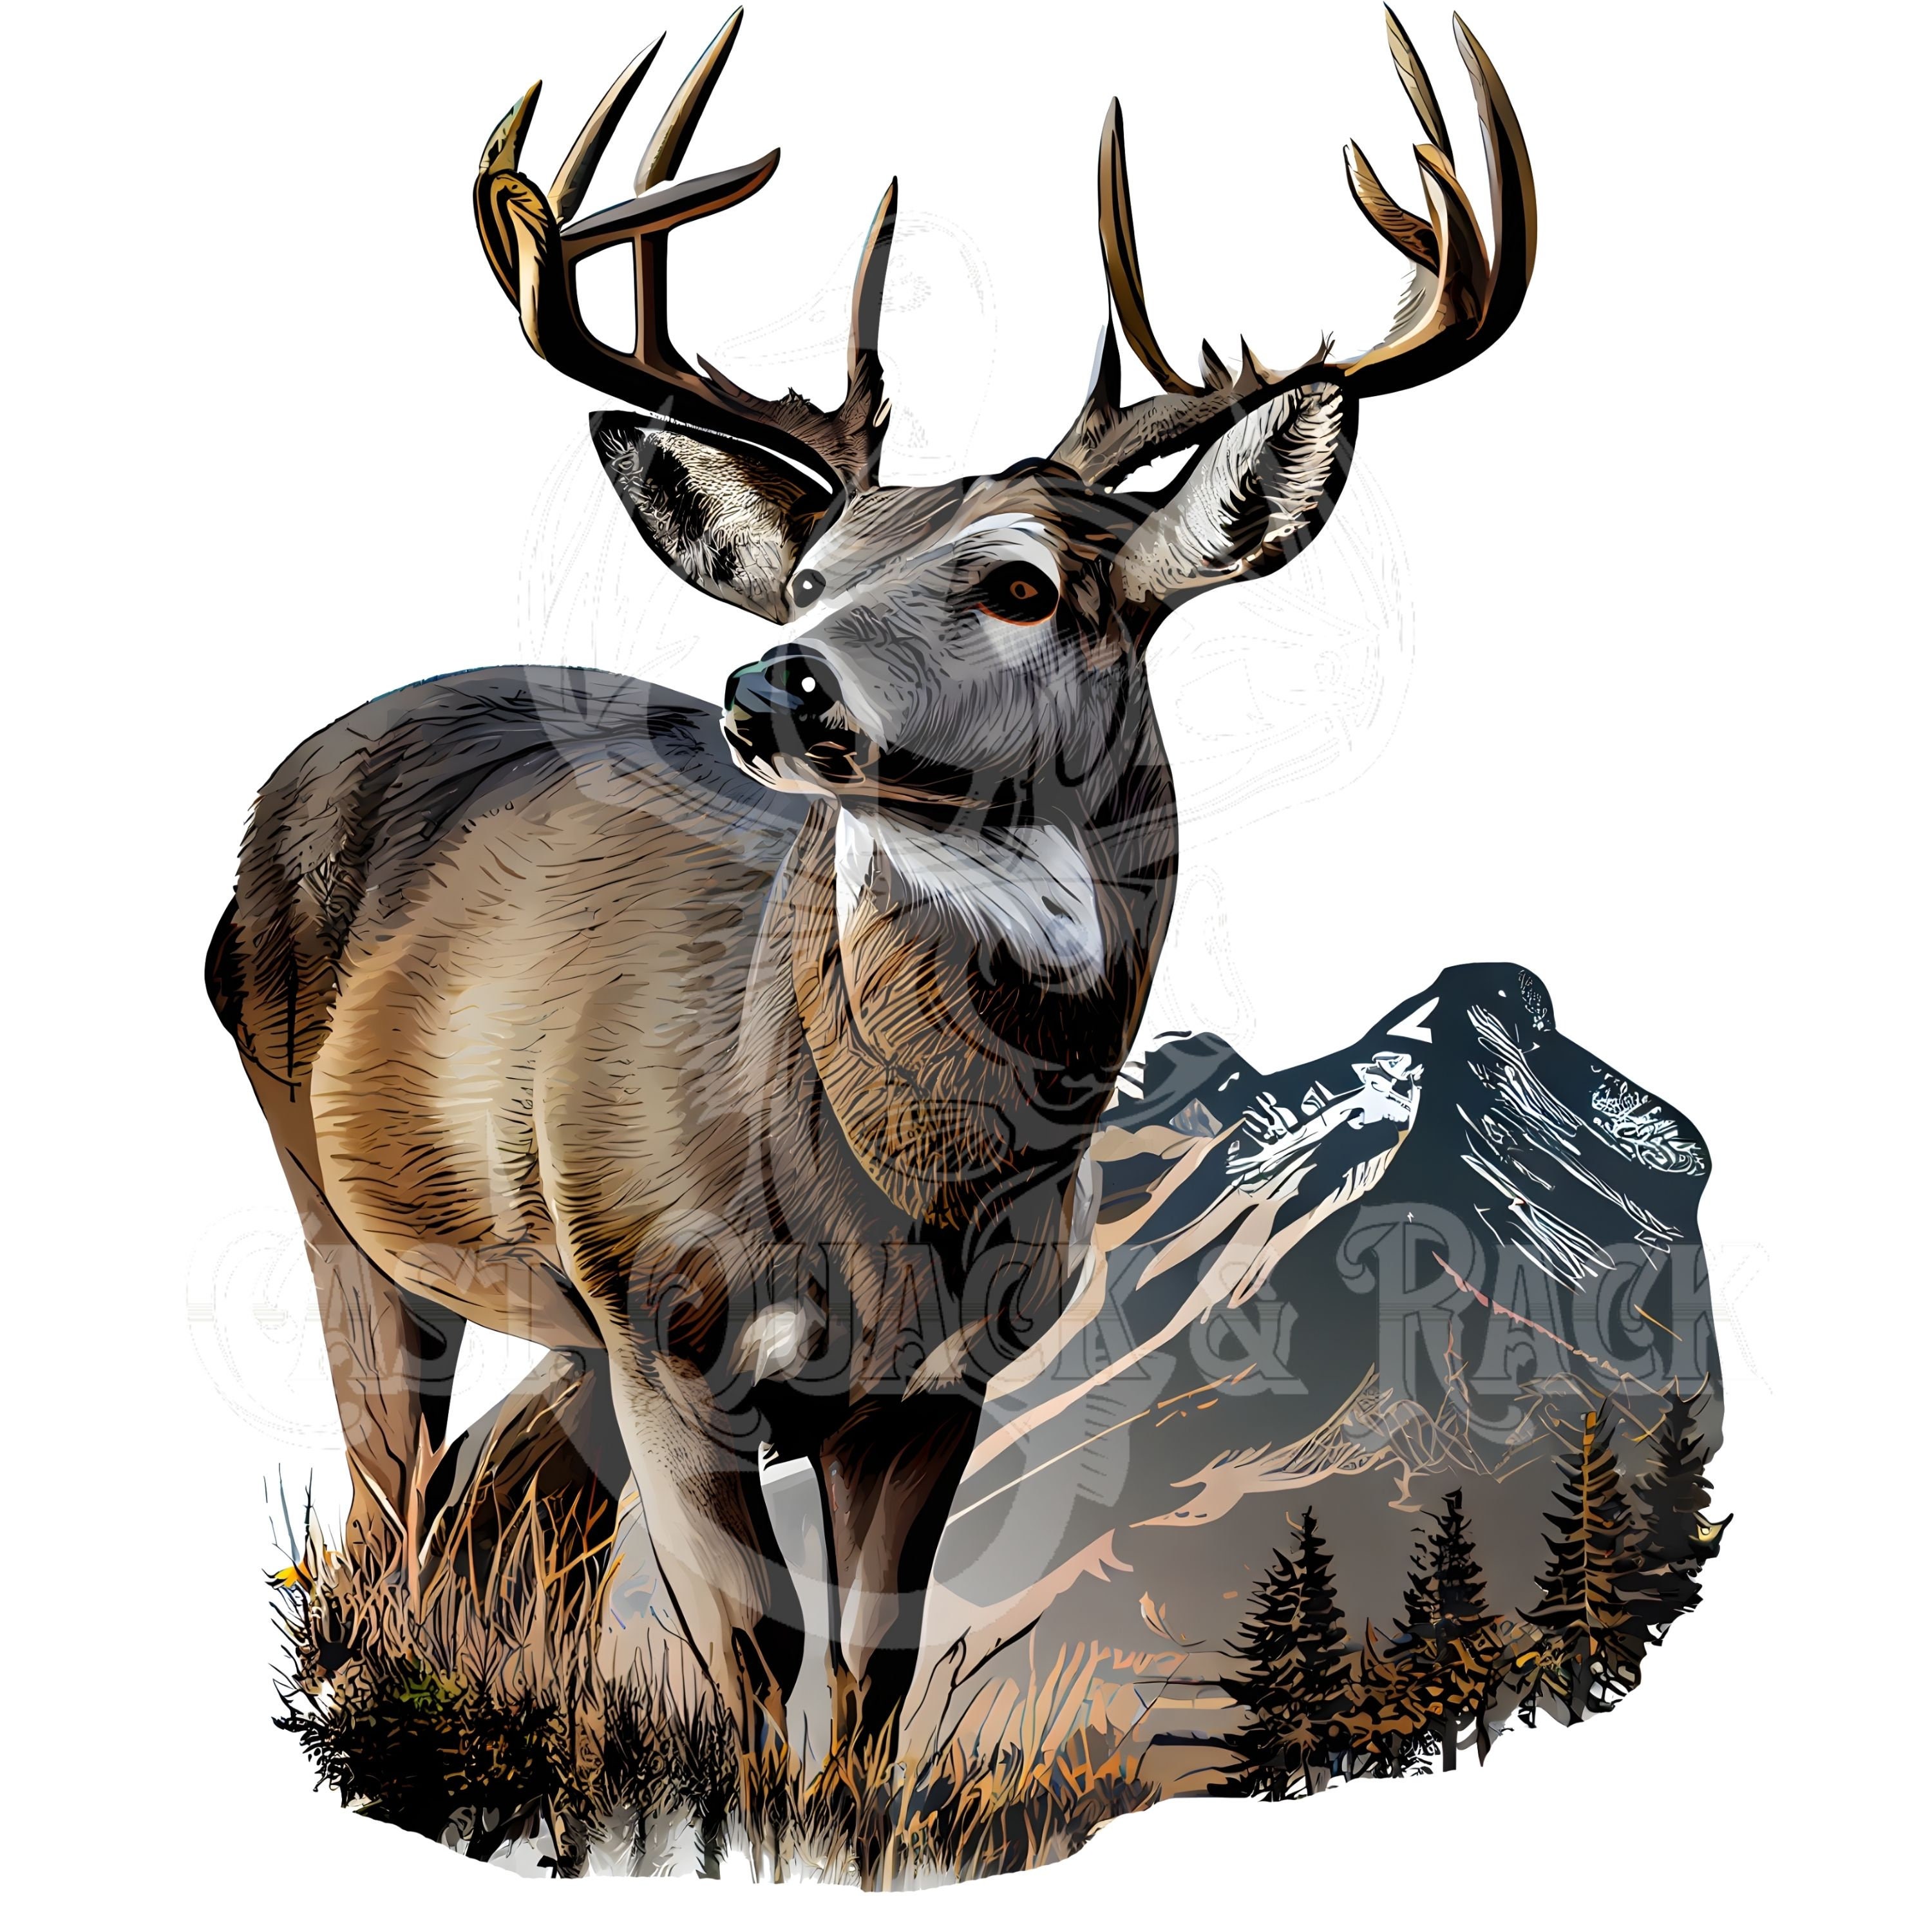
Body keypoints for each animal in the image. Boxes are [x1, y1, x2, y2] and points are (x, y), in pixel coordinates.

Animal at [207, 7, 1534, 1766]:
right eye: (819, 575)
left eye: (1024, 584)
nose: (773, 677)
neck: (900, 1192)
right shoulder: (672, 1335)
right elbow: (758, 1659)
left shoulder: (927, 1388)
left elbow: (870, 1678)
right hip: (338, 1176)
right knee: (393, 1480)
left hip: (564, 1313)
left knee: (507, 1501)